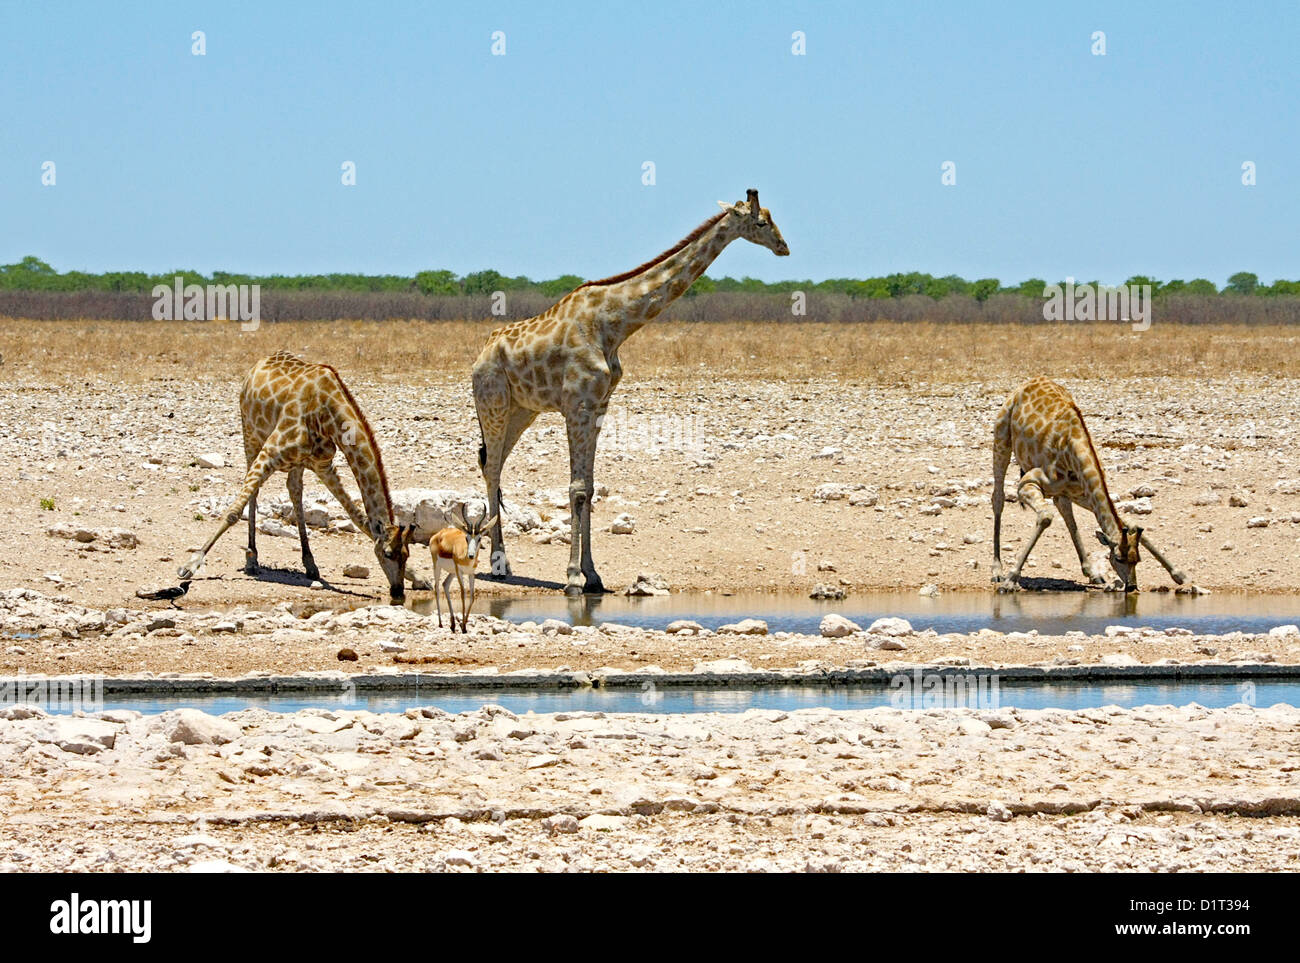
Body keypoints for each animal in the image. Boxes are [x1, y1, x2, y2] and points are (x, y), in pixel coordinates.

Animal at [177, 351, 415, 600]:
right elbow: (233, 512)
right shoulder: (270, 452)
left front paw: (418, 577)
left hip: (296, 463)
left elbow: (358, 518)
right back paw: (252, 559)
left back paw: (309, 564)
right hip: (250, 436)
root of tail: (259, 362)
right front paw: (190, 564)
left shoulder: (323, 465)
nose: (398, 592)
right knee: (254, 491)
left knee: (294, 492)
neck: (328, 416)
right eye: (387, 553)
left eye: (406, 554)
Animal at [472, 189, 789, 595]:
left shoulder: (599, 405)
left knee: (493, 466)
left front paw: (592, 575)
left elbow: (590, 488)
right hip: (492, 404)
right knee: (492, 468)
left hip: (521, 410)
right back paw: (499, 564)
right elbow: (576, 488)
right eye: (761, 222)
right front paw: (572, 577)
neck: (614, 324)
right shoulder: (578, 405)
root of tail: (481, 354)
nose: (784, 247)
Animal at [991, 377, 1187, 592]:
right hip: (1001, 440)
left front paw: (1179, 575)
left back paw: (1093, 573)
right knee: (998, 499)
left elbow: (1128, 522)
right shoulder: (1028, 483)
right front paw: (1010, 579)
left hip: (1065, 494)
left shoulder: (1083, 493)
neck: (1072, 448)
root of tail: (1027, 384)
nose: (1131, 587)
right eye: (1118, 558)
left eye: (1138, 559)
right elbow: (1045, 517)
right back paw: (997, 571)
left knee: (1067, 514)